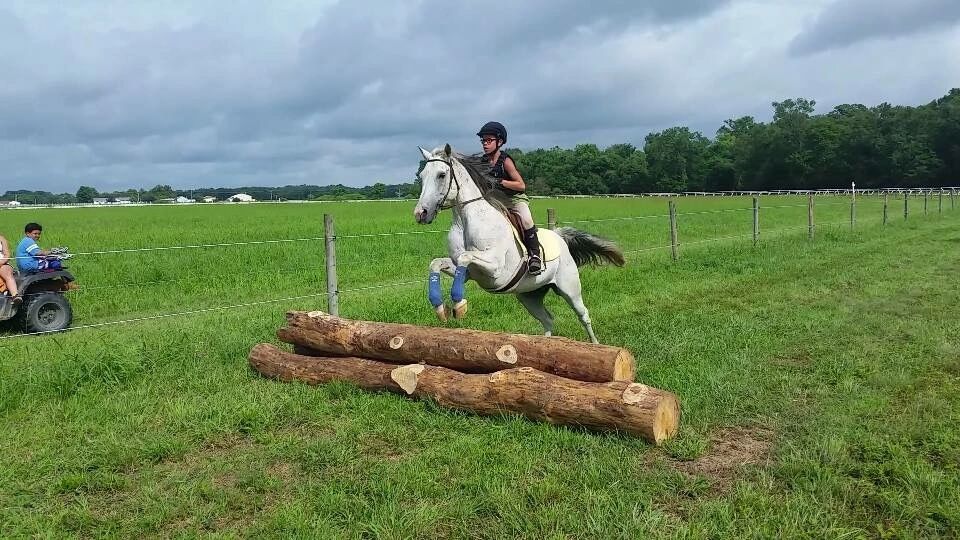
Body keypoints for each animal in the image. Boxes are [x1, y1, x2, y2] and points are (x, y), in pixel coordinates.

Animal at [413, 143, 625, 343]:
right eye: (422, 176)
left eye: (441, 175)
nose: (420, 213)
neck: (466, 220)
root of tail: (559, 236)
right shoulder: (466, 272)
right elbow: (436, 263)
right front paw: (440, 308)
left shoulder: (494, 267)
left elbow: (466, 256)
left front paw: (459, 305)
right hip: (529, 295)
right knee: (548, 319)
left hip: (569, 288)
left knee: (583, 315)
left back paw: (595, 344)